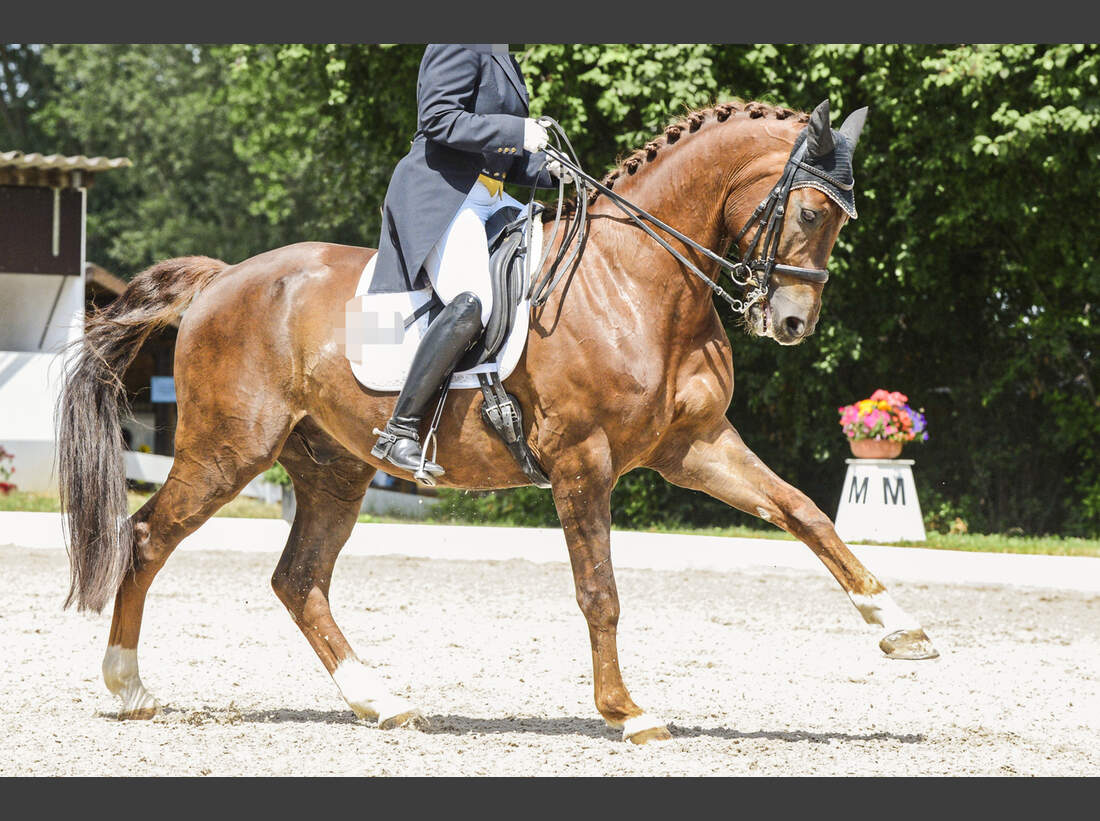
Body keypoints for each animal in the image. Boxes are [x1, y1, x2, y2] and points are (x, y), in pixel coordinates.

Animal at [58, 99, 938, 745]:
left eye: (841, 217)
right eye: (812, 211)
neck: (638, 281)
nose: (790, 322)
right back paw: (128, 685)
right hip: (227, 449)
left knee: (298, 579)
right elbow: (600, 590)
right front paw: (627, 710)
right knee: (148, 537)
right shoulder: (584, 460)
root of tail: (221, 278)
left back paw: (381, 700)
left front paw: (900, 628)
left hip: (333, 467)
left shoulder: (694, 447)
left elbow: (804, 511)